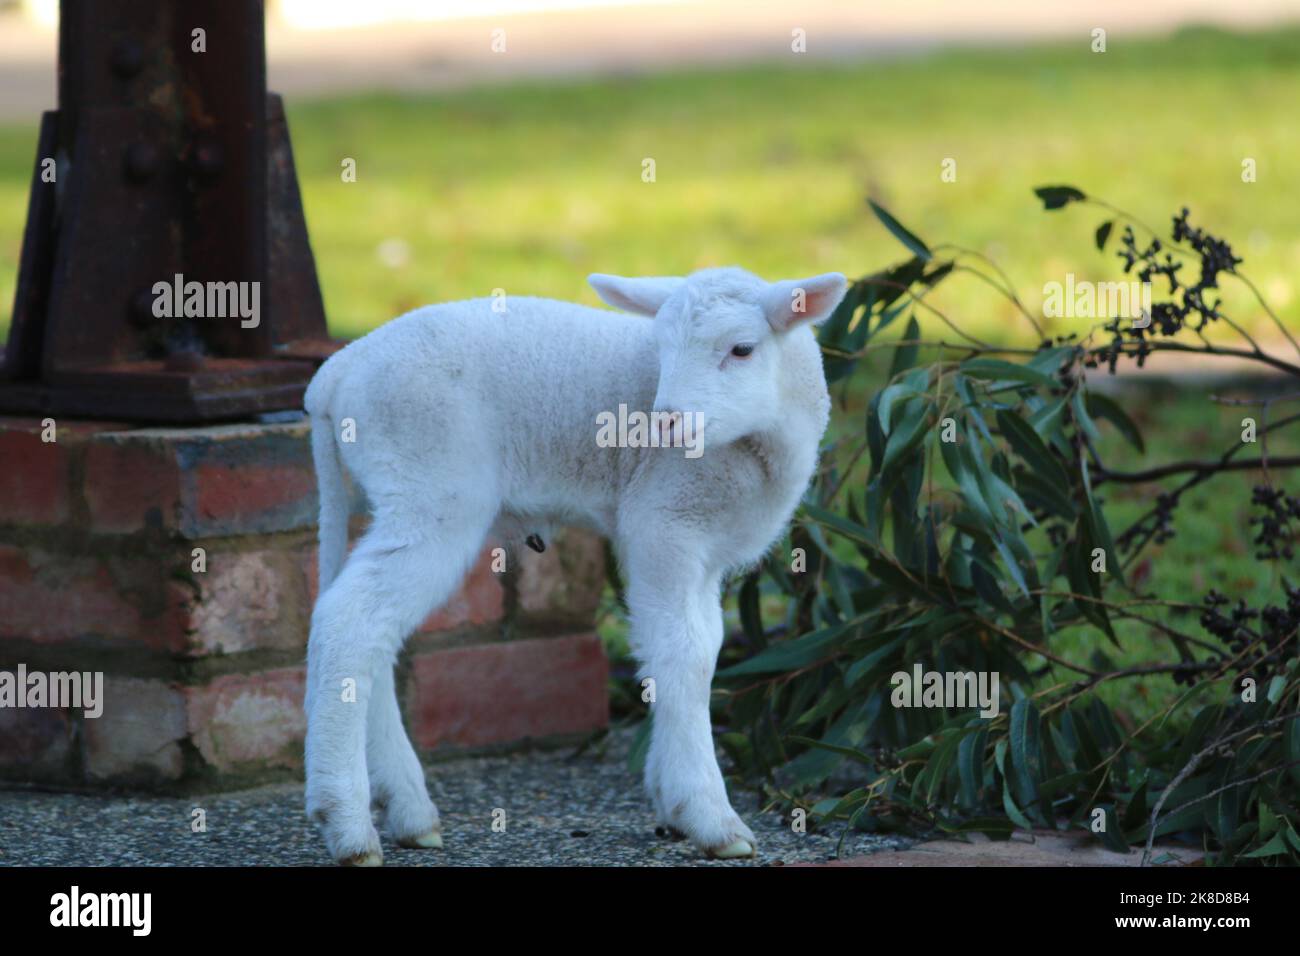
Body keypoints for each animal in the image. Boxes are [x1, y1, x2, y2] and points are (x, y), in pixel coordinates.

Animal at [302, 266, 847, 865]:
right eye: (661, 348)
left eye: (742, 349)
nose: (665, 424)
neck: (760, 443)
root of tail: (337, 370)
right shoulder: (664, 523)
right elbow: (682, 656)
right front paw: (709, 816)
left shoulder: (700, 549)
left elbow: (702, 647)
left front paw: (669, 797)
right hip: (429, 485)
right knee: (351, 623)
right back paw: (349, 825)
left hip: (381, 494)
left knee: (363, 629)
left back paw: (408, 811)